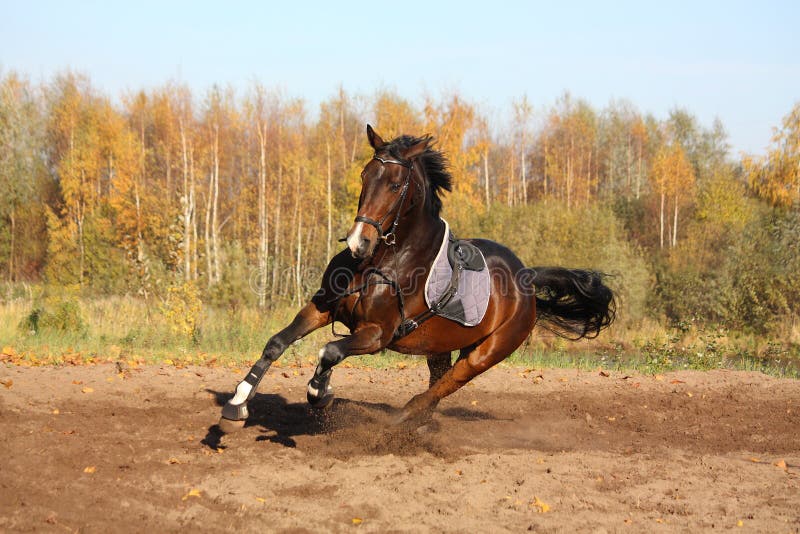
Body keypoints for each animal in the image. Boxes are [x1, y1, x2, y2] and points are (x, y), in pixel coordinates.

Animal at [219, 124, 615, 432]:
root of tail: (527, 279)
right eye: (365, 176)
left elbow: (330, 351)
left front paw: (320, 392)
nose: (358, 242)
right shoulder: (323, 307)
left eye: (396, 185)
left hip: (485, 355)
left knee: (441, 389)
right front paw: (236, 404)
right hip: (439, 347)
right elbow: (277, 343)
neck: (383, 260)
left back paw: (397, 425)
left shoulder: (377, 335)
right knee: (436, 383)